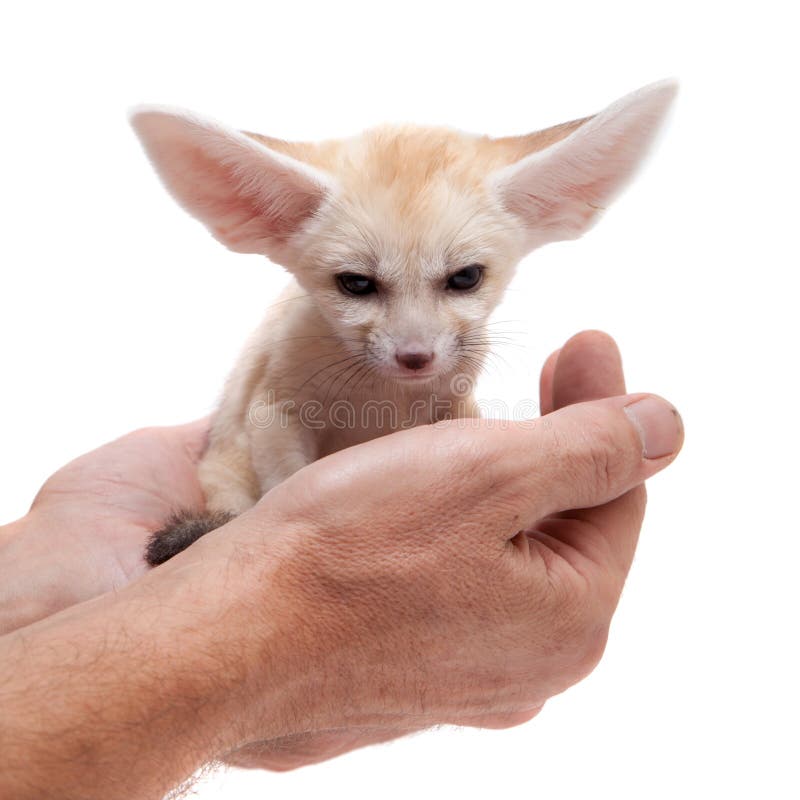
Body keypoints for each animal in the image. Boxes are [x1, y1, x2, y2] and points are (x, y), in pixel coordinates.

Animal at [131, 80, 677, 566]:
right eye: (356, 284)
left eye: (465, 278)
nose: (415, 357)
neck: (383, 401)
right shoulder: (274, 411)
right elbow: (284, 484)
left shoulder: (453, 406)